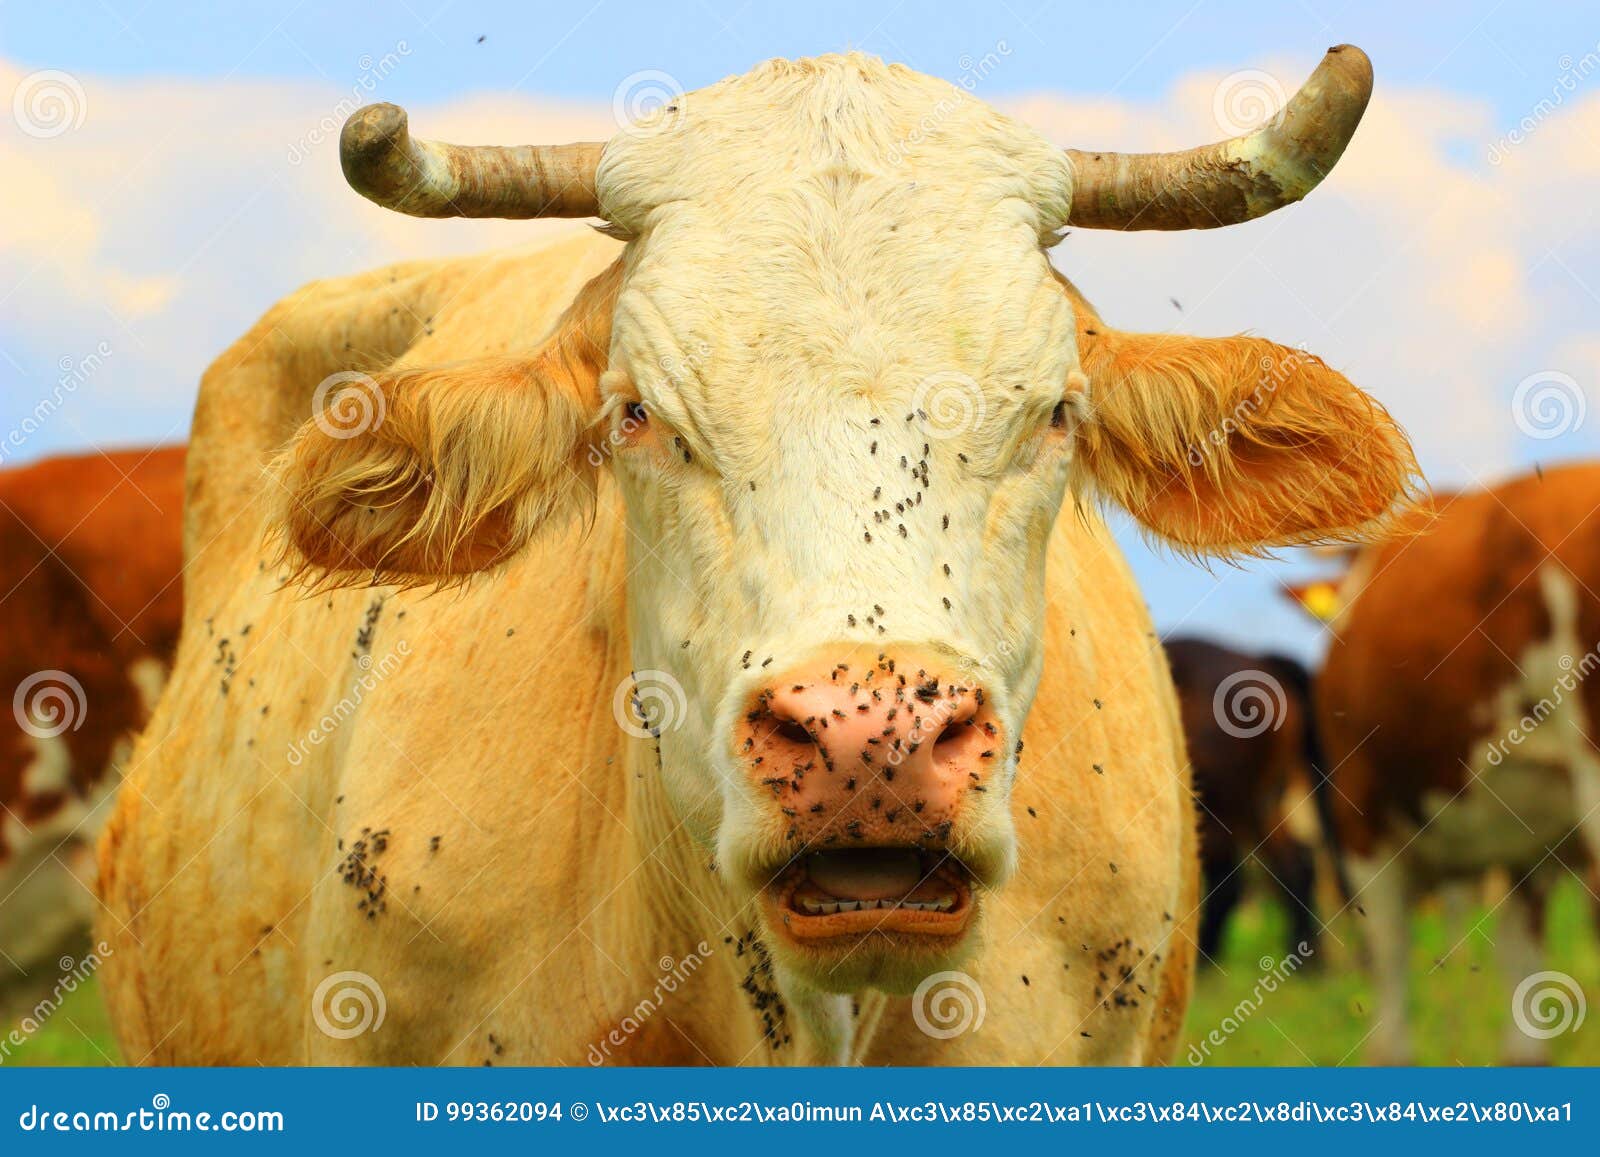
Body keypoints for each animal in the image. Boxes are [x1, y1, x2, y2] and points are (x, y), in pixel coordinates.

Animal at [1163, 637, 1332, 965]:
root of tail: (1262, 661)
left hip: (1224, 804)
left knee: (1229, 883)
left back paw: (1206, 959)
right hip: (1262, 803)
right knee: (1296, 864)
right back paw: (1305, 956)